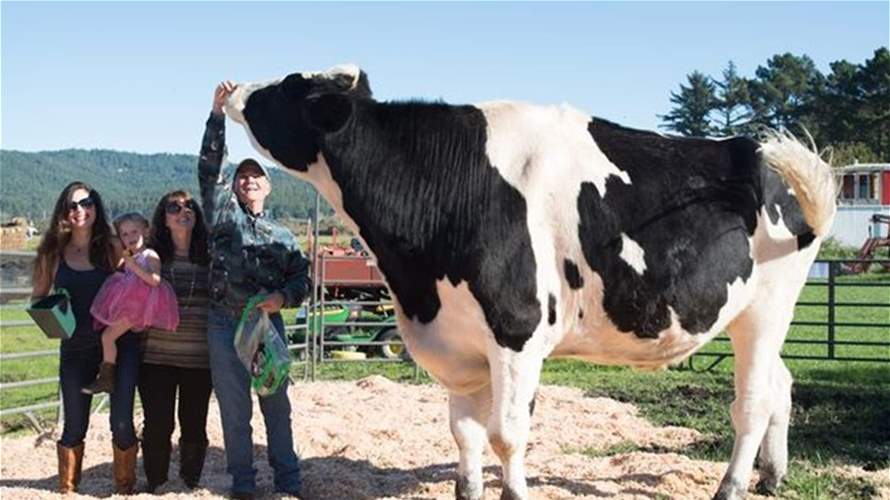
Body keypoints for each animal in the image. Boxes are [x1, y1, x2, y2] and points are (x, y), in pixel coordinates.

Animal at [223, 64, 837, 500]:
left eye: (288, 85)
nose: (229, 88)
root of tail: (755, 152)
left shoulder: (515, 331)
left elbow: (506, 432)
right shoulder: (459, 339)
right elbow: (465, 431)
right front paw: (468, 489)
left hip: (766, 310)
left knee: (753, 402)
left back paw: (731, 487)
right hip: (749, 318)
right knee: (782, 384)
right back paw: (772, 476)